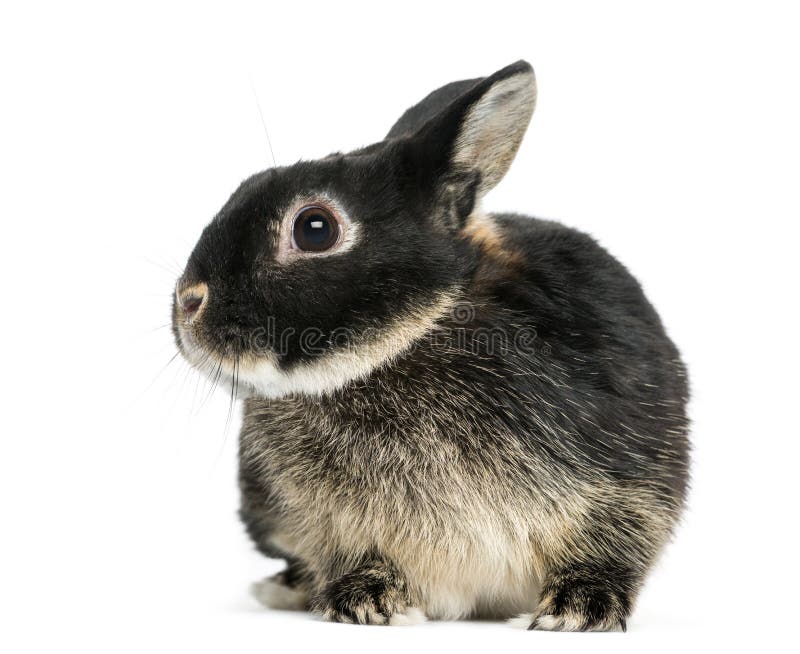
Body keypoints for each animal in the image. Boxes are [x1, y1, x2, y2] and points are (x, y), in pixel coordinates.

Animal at [172, 60, 690, 631]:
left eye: (315, 228)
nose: (187, 302)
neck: (415, 333)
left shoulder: (632, 479)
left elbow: (616, 538)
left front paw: (578, 608)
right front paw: (367, 599)